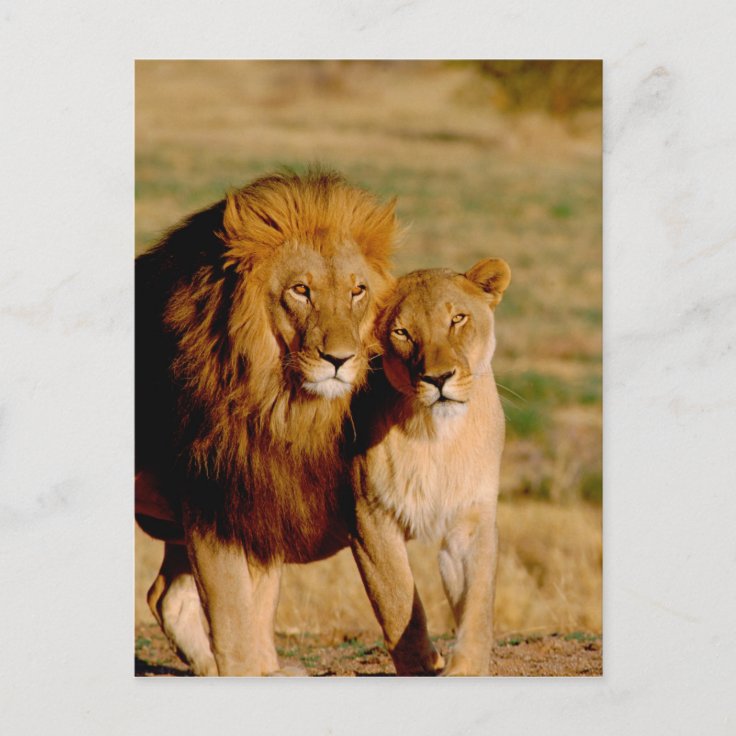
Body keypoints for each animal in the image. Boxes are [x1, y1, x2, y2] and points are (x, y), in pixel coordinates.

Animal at [135, 170, 396, 675]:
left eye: (357, 290)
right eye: (301, 290)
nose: (341, 359)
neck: (279, 404)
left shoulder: (261, 501)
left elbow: (256, 617)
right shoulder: (212, 504)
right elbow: (236, 623)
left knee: (165, 597)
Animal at [350, 258, 511, 676]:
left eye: (457, 319)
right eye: (402, 332)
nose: (438, 379)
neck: (437, 437)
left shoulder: (471, 519)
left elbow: (478, 605)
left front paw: (466, 667)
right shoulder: (369, 520)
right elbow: (397, 604)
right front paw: (424, 665)